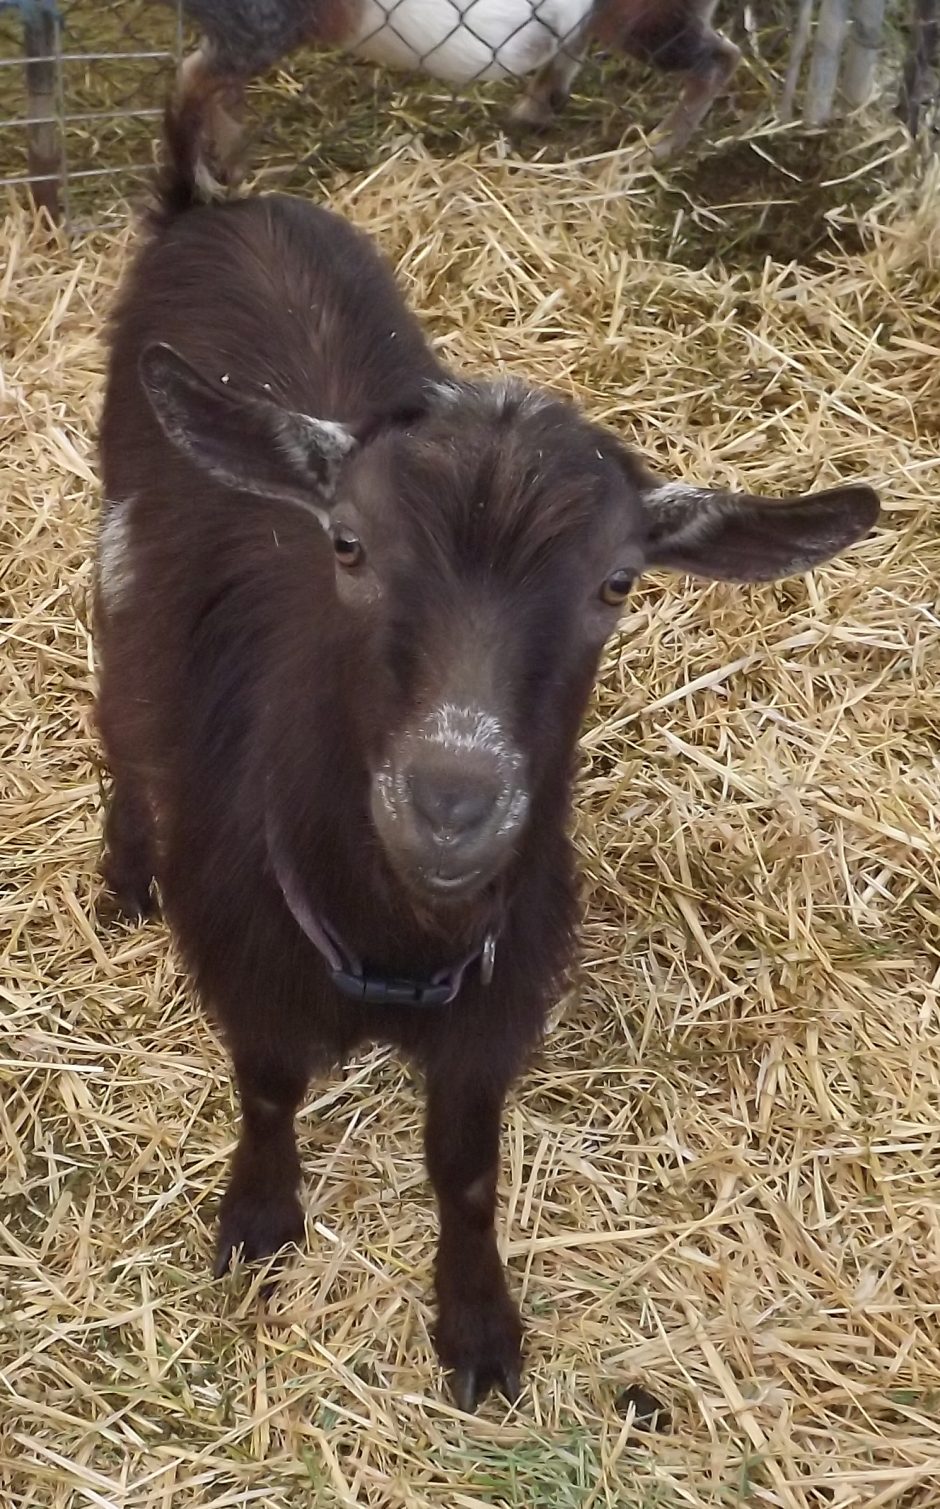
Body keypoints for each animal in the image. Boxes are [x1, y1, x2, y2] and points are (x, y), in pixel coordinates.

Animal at [95, 103, 879, 1411]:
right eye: (347, 544)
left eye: (617, 585)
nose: (451, 803)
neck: (395, 941)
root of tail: (214, 201)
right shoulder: (248, 958)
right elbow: (266, 1088)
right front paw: (257, 1225)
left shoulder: (494, 1006)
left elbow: (463, 1169)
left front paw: (478, 1332)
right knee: (117, 704)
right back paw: (120, 877)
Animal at [170, 0, 741, 186]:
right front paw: (231, 165)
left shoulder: (255, 29)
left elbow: (190, 81)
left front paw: (210, 179)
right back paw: (533, 109)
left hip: (651, 23)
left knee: (720, 58)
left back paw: (648, 154)